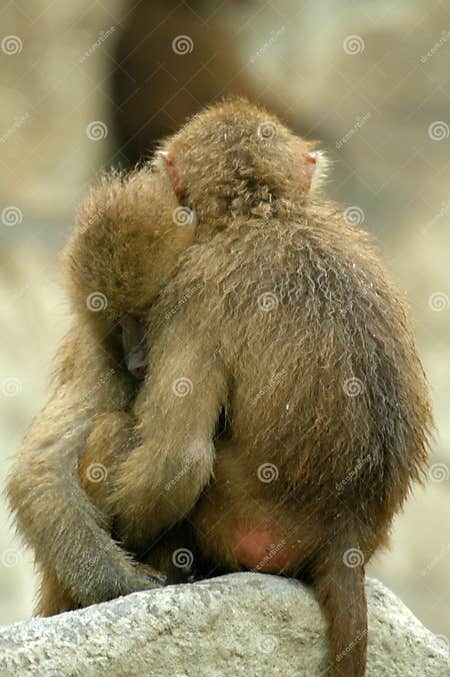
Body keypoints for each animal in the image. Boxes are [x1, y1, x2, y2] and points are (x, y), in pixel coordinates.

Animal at [8, 99, 431, 677]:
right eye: (125, 324)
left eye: (141, 322)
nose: (136, 359)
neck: (262, 213)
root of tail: (342, 530)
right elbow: (45, 465)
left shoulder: (187, 299)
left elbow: (175, 458)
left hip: (237, 527)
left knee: (116, 432)